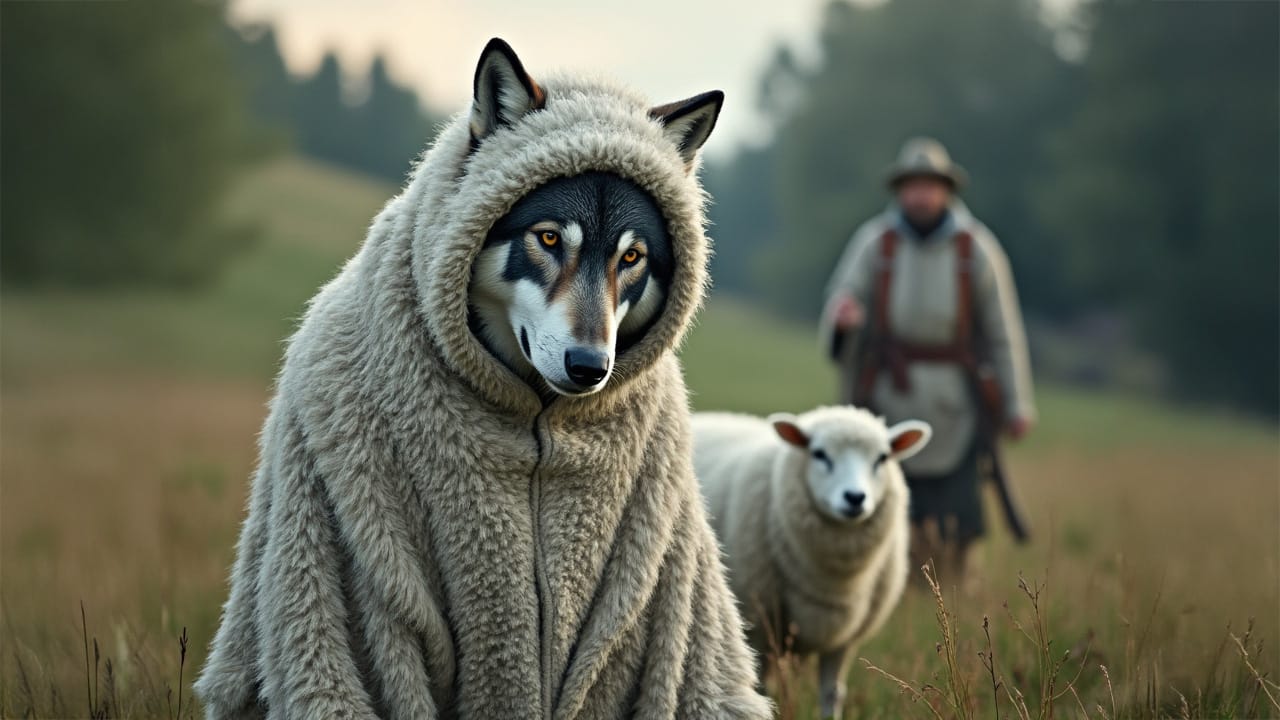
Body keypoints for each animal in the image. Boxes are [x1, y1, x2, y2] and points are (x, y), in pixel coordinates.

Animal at [693, 406, 931, 720]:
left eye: (882, 457)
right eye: (819, 454)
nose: (855, 497)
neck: (835, 579)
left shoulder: (844, 636)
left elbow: (832, 693)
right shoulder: (760, 627)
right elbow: (762, 690)